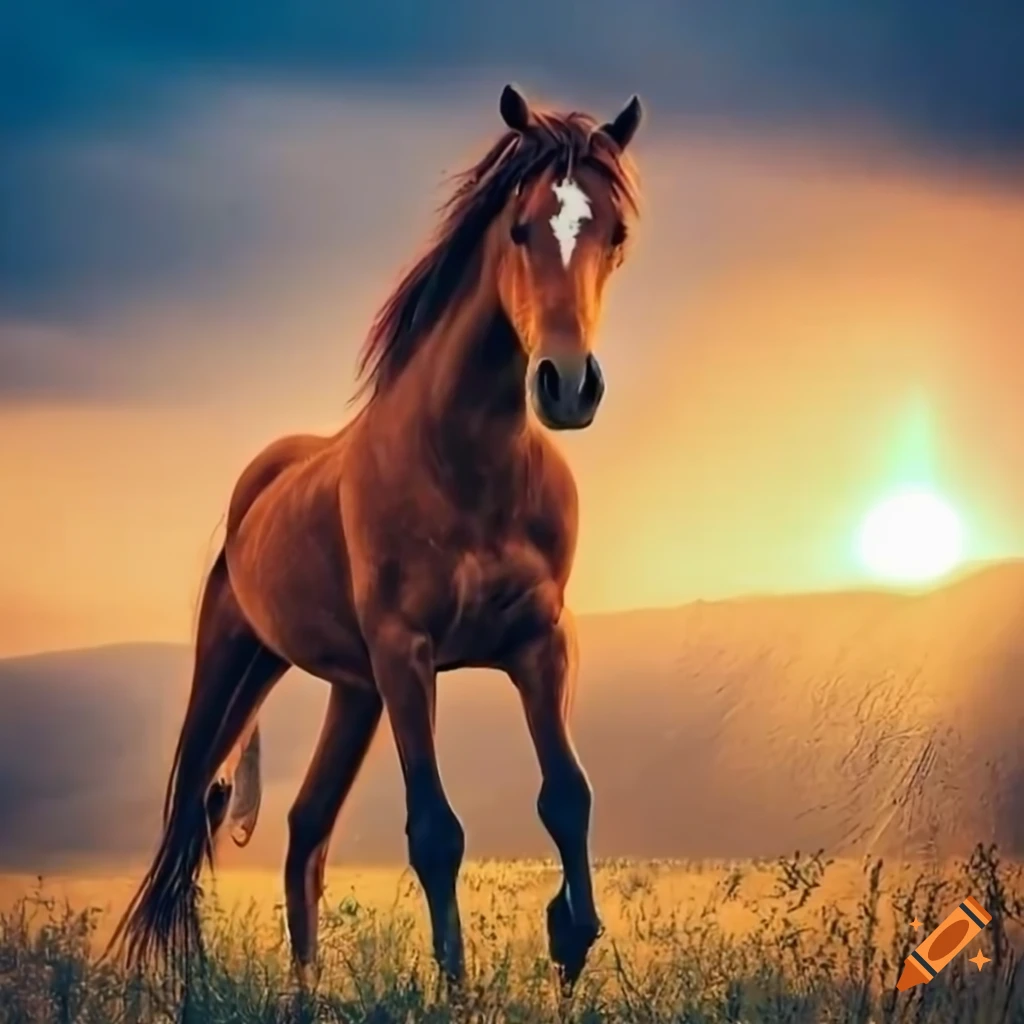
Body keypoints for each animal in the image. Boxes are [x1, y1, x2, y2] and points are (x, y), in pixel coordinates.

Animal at [108, 82, 643, 994]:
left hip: (351, 692)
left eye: (615, 234)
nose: (567, 385)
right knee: (188, 826)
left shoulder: (539, 644)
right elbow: (436, 831)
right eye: (520, 227)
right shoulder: (405, 655)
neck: (464, 464)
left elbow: (567, 796)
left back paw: (304, 996)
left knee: (305, 832)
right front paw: (457, 990)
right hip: (240, 664)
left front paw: (569, 937)